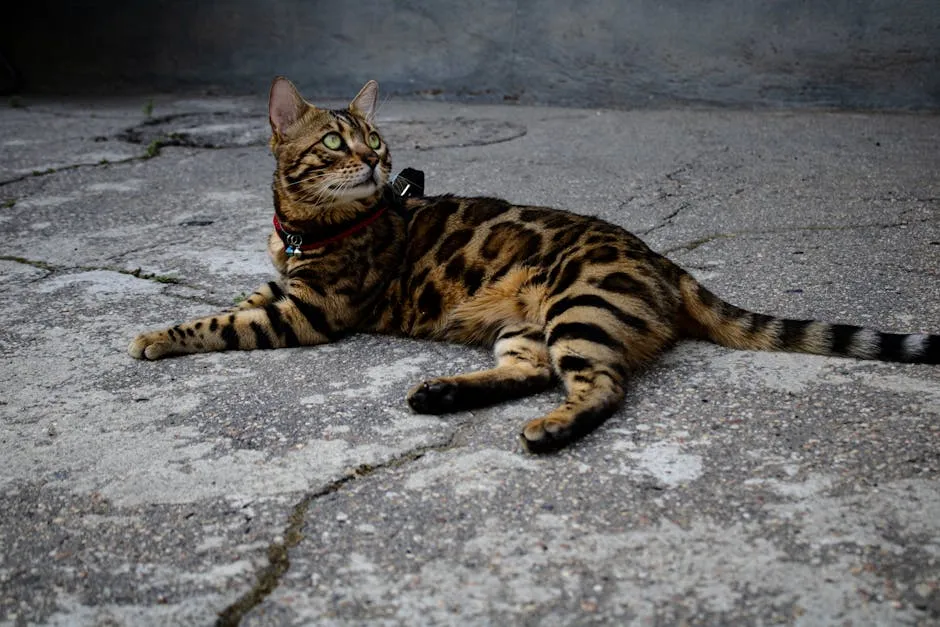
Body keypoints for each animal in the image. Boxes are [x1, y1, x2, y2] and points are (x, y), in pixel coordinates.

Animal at [126, 78, 940, 454]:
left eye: (376, 139)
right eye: (334, 141)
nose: (376, 162)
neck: (301, 231)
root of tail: (656, 256)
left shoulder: (310, 311)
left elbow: (219, 322)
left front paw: (156, 336)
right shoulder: (283, 284)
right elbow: (240, 295)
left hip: (579, 308)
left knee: (601, 387)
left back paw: (549, 429)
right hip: (528, 325)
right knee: (534, 370)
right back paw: (444, 394)